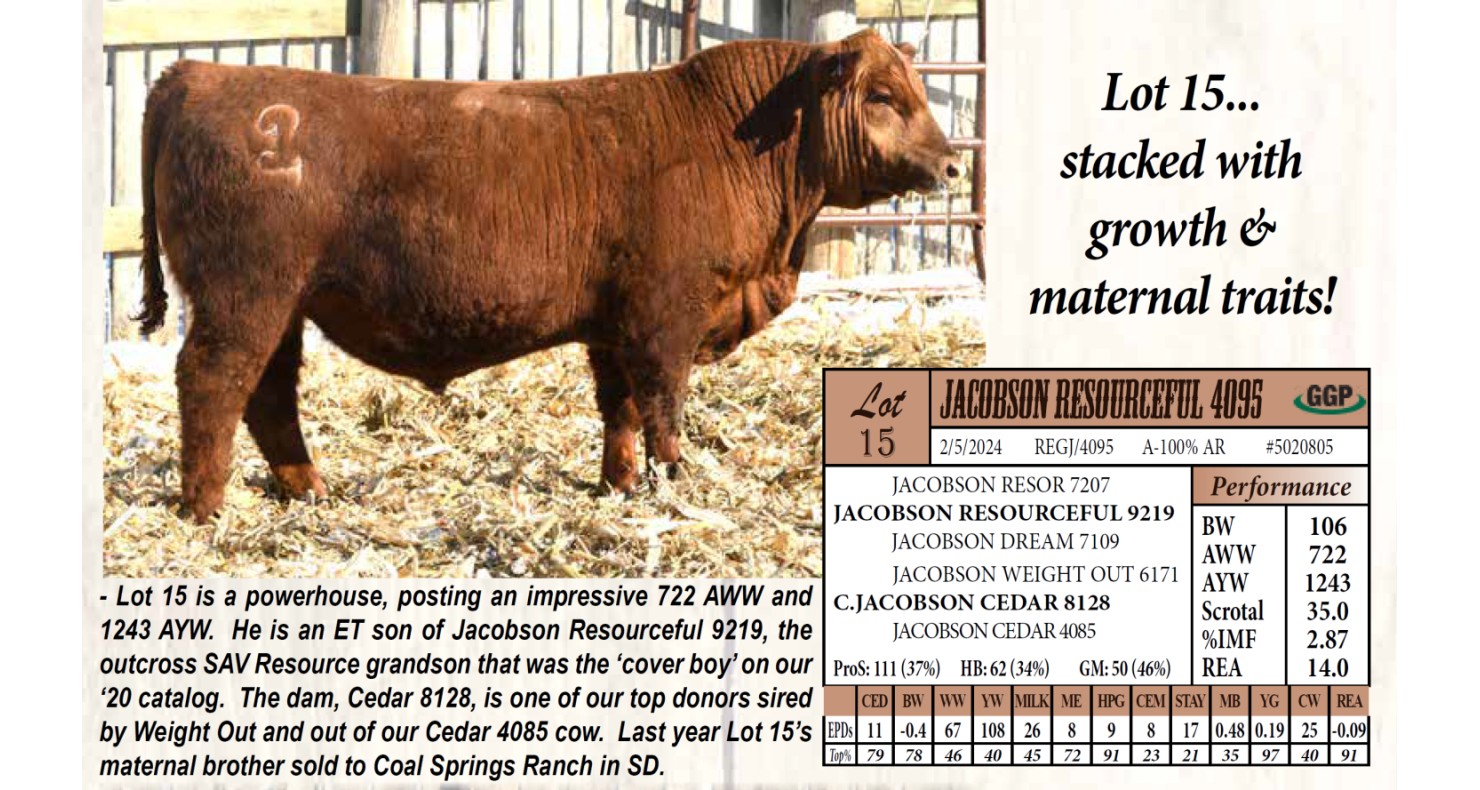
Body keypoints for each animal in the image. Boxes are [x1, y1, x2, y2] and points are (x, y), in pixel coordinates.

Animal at [134, 28, 961, 523]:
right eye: (882, 96)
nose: (954, 164)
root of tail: (199, 72)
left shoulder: (616, 324)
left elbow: (618, 408)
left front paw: (618, 483)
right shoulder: (664, 317)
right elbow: (662, 405)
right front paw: (675, 482)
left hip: (281, 304)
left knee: (268, 395)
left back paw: (307, 490)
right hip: (247, 296)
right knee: (214, 383)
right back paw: (204, 507)